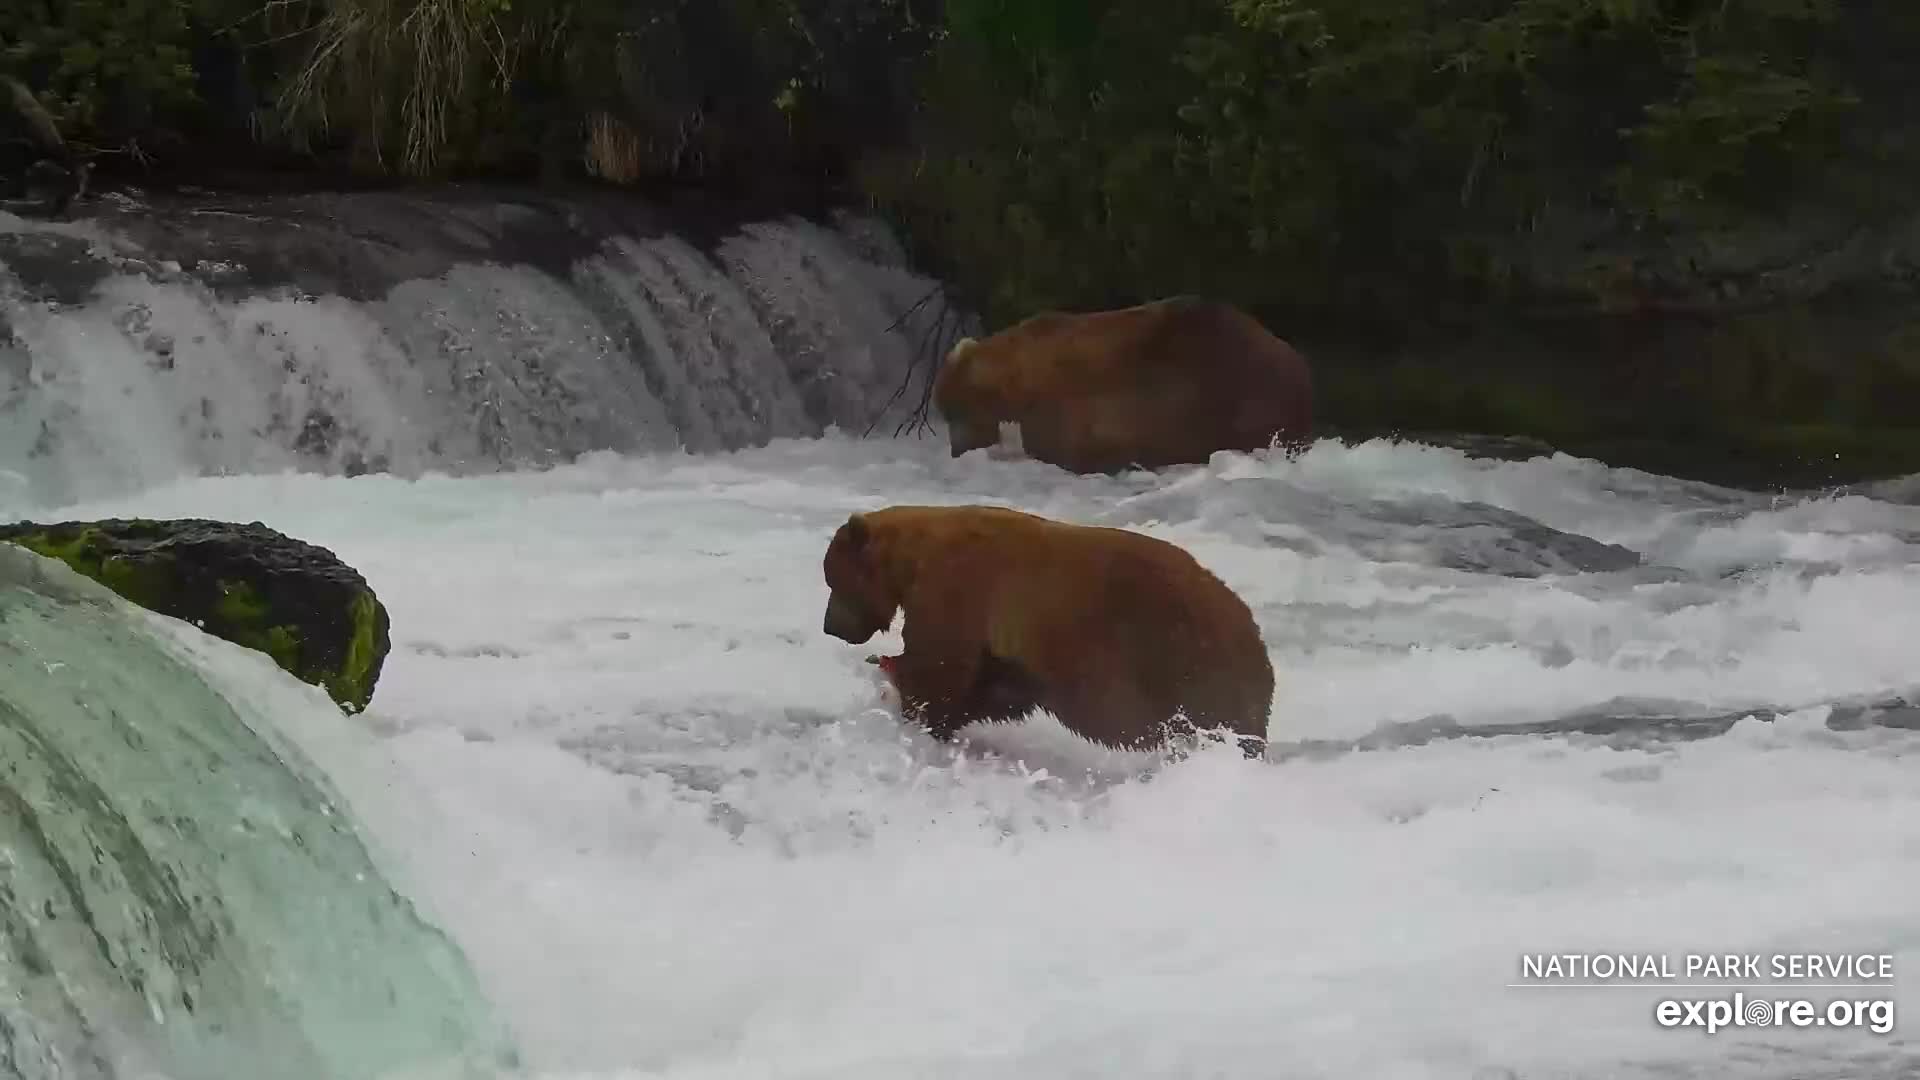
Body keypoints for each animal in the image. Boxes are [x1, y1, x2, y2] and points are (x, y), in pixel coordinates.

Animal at [820, 504, 1274, 757]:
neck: (910, 560)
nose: (830, 627)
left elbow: (940, 666)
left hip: (1182, 660)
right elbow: (993, 688)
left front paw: (893, 682)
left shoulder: (956, 588)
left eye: (832, 581)